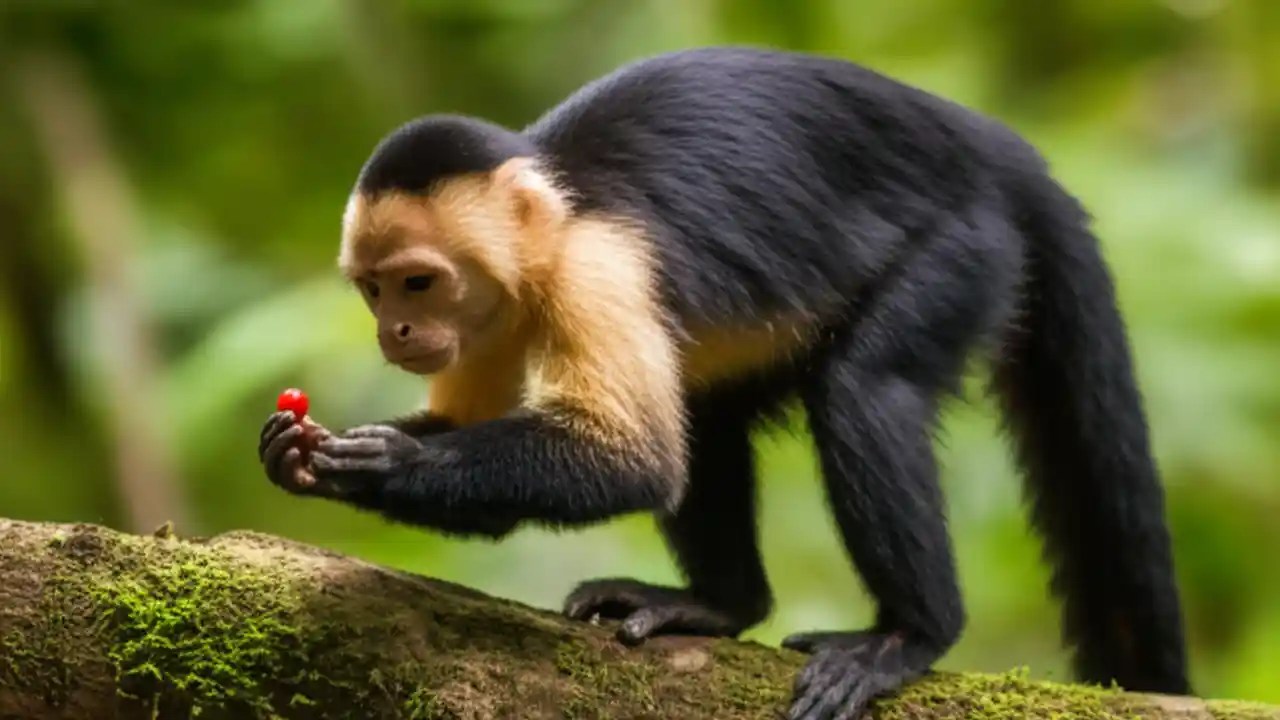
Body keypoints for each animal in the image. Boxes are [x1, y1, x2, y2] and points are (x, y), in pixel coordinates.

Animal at [257, 47, 1190, 719]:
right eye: (373, 291)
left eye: (417, 283)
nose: (395, 332)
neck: (550, 231)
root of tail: (984, 142)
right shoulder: (489, 316)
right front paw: (297, 455)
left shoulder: (598, 269)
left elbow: (634, 461)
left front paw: (387, 464)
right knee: (705, 408)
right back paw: (719, 605)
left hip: (969, 243)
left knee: (864, 389)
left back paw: (910, 636)